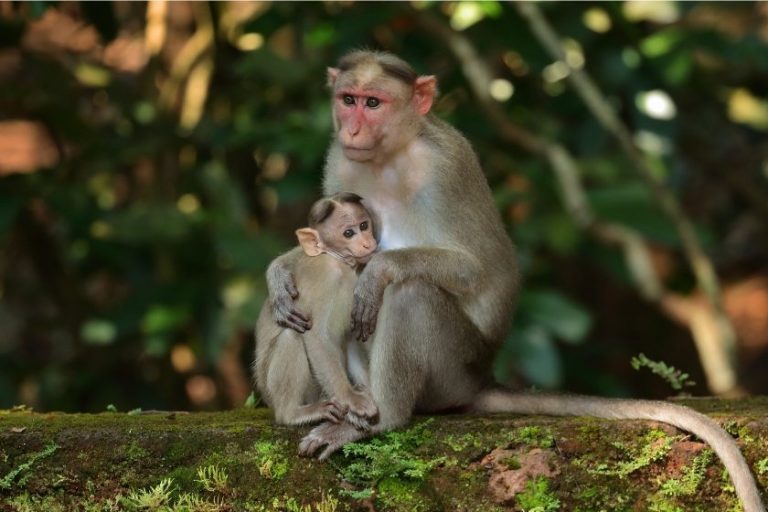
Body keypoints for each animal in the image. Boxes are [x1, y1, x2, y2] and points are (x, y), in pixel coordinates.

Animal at [254, 192, 379, 428]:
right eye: (348, 233)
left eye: (364, 225)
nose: (368, 242)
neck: (338, 262)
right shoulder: (324, 278)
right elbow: (317, 337)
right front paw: (352, 400)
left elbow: (350, 338)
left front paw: (368, 392)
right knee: (292, 335)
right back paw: (292, 413)